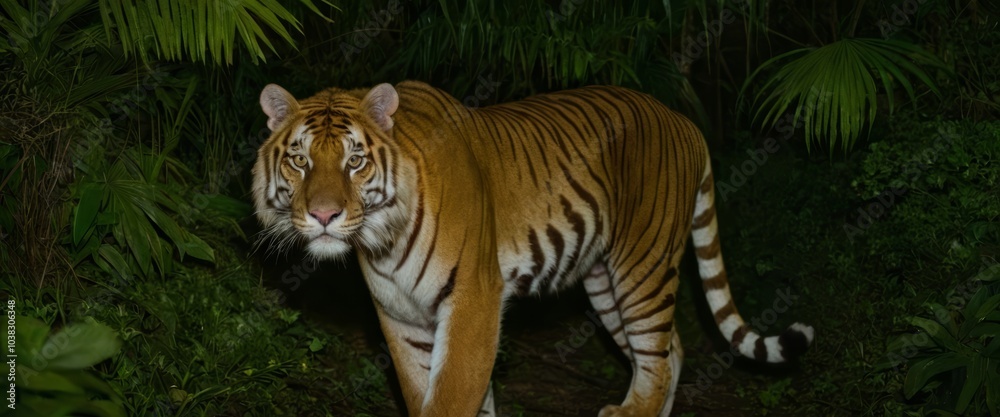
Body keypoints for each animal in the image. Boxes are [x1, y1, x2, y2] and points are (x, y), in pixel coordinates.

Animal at [252, 80, 814, 417]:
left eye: (355, 161)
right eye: (300, 160)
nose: (325, 215)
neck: (381, 240)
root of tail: (684, 119)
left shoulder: (473, 302)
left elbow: (452, 396)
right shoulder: (401, 318)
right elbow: (435, 396)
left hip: (643, 265)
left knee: (657, 360)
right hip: (604, 283)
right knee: (671, 350)